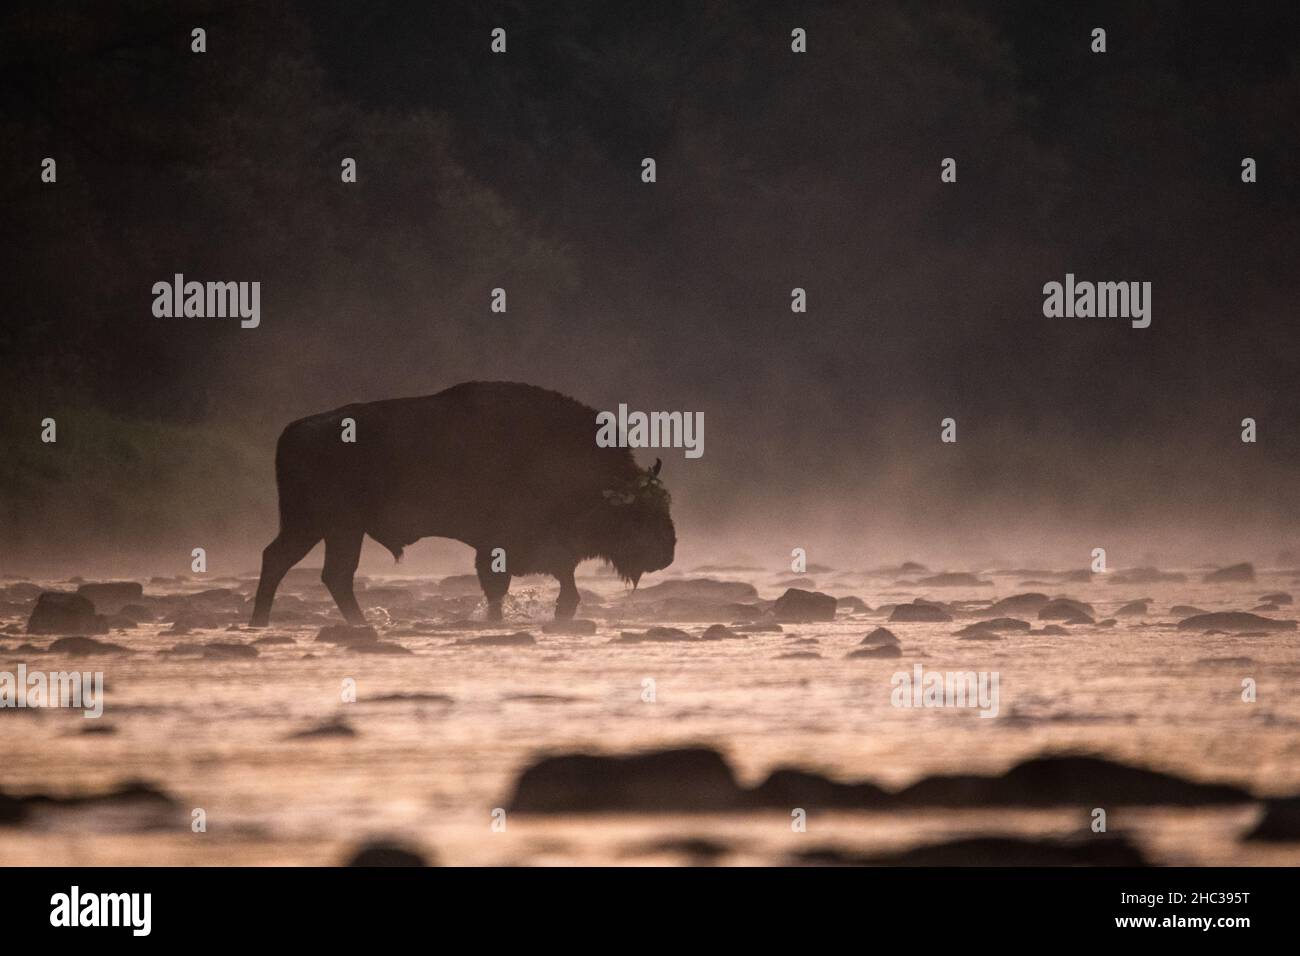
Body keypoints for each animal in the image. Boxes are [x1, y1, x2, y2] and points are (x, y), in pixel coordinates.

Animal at [249, 381, 676, 626]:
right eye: (641, 513)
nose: (668, 552)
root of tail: (295, 430)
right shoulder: (497, 548)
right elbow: (496, 589)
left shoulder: (554, 554)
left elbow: (568, 593)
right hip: (328, 525)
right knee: (313, 568)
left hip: (323, 527)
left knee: (301, 565)